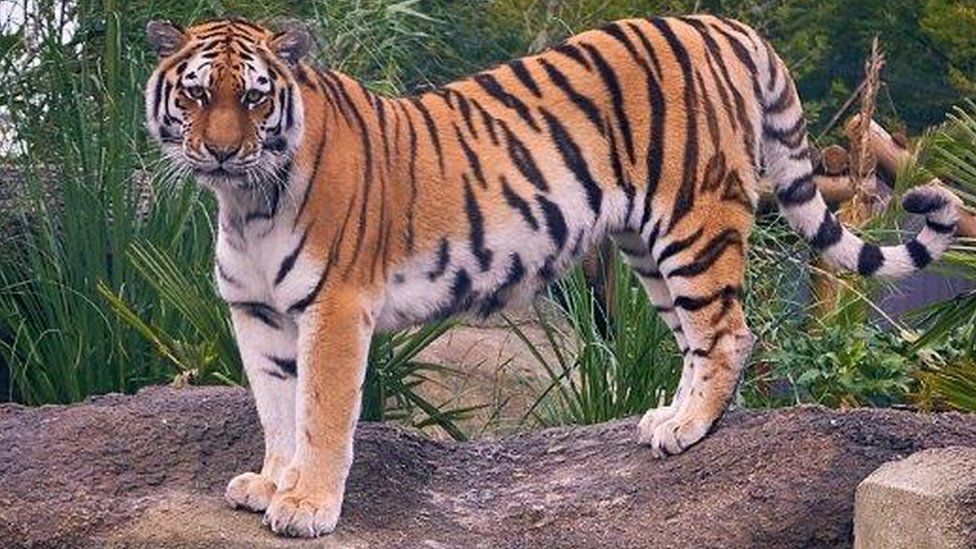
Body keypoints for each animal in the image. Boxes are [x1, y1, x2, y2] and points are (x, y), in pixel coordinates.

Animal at [144, 15, 958, 538]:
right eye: (196, 93)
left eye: (253, 97)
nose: (221, 151)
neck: (245, 202)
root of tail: (725, 25)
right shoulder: (257, 315)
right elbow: (276, 410)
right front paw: (269, 484)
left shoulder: (337, 307)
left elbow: (319, 413)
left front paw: (307, 504)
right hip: (645, 245)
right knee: (695, 337)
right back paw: (668, 418)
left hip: (691, 221)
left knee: (728, 330)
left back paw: (688, 429)